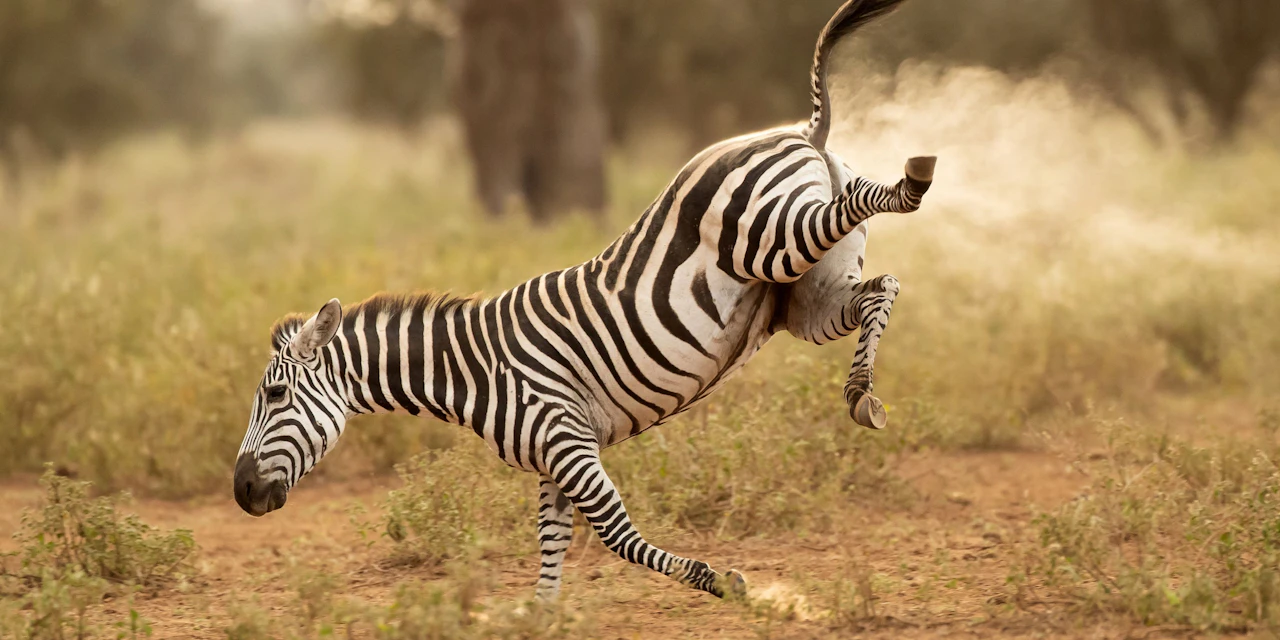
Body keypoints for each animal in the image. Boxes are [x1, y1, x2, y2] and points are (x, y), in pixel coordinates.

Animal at [234, 0, 933, 602]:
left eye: (275, 394)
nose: (240, 492)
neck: (472, 371)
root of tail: (795, 131)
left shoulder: (567, 439)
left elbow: (619, 537)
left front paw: (721, 581)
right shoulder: (553, 458)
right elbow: (552, 546)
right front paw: (540, 617)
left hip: (771, 240)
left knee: (863, 209)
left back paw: (914, 179)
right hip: (804, 297)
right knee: (881, 288)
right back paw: (862, 393)